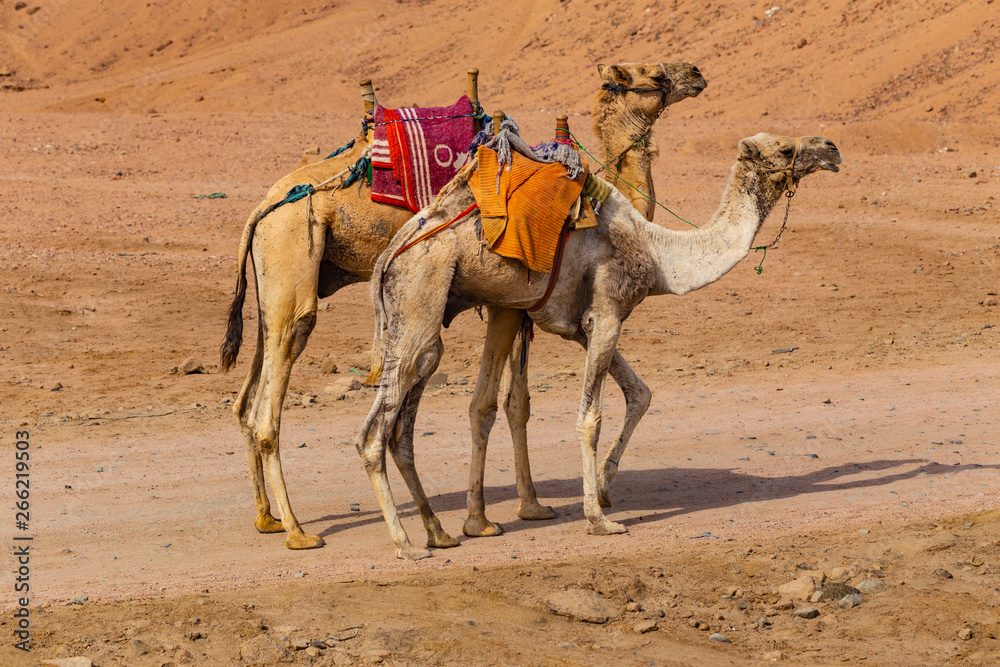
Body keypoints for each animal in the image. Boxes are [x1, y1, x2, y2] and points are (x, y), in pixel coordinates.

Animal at [219, 63, 705, 550]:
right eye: (654, 76)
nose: (697, 74)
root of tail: (263, 208)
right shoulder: (518, 303)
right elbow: (506, 403)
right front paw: (514, 511)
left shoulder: (516, 305)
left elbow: (512, 402)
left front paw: (523, 507)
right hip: (293, 261)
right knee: (270, 405)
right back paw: (298, 531)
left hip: (273, 286)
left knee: (246, 396)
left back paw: (268, 518)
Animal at [360, 133, 842, 559]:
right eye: (784, 148)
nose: (832, 148)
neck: (660, 254)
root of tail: (387, 257)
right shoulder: (608, 313)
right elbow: (590, 416)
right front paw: (598, 519)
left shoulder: (576, 325)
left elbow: (640, 392)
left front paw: (606, 490)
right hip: (420, 291)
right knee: (375, 431)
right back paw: (407, 544)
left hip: (458, 308)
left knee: (422, 415)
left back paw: (448, 530)